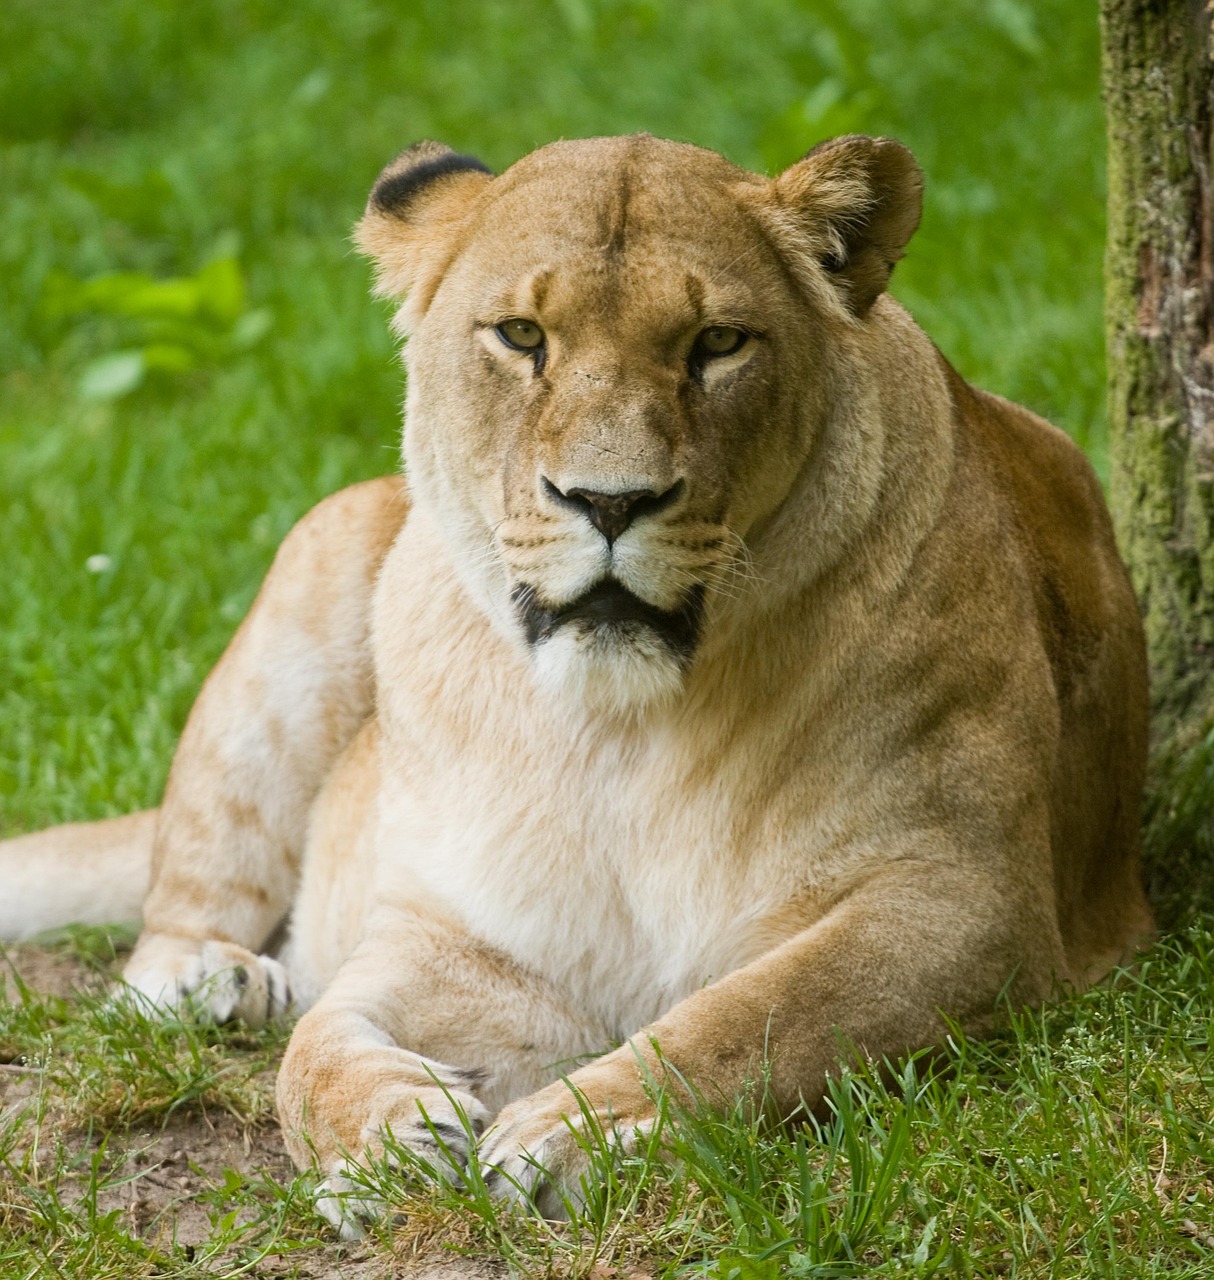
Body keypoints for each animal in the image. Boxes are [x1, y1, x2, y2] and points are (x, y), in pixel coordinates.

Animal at [0, 133, 1153, 1231]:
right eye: (521, 336)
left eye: (716, 342)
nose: (608, 501)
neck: (616, 729)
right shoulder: (462, 931)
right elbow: (314, 1052)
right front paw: (385, 1143)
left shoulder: (969, 899)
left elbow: (762, 1015)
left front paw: (579, 1137)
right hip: (307, 575)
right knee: (169, 925)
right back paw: (219, 981)